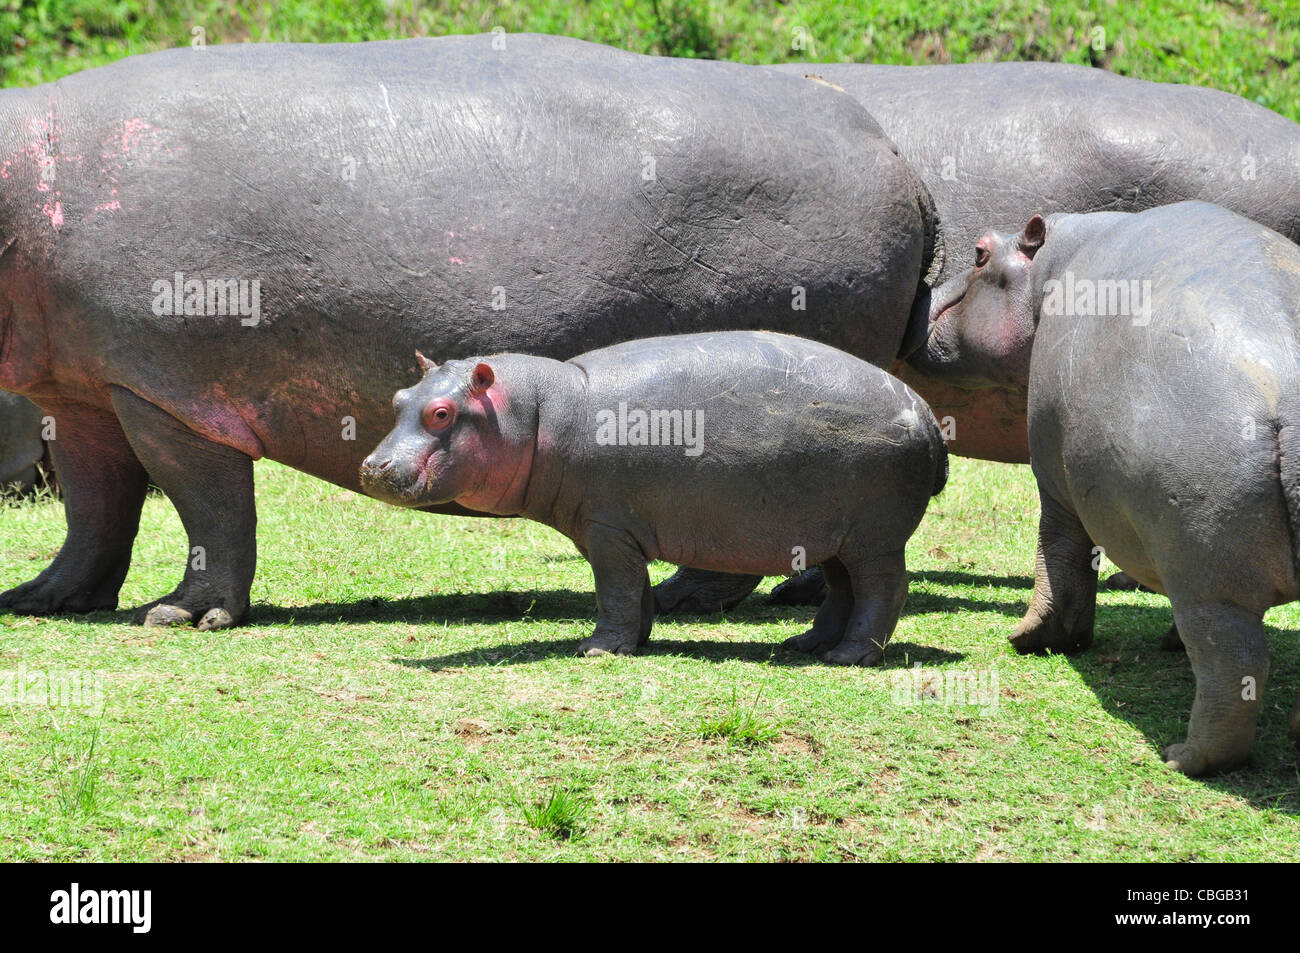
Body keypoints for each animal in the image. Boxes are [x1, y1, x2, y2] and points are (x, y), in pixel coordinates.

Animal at [0, 34, 944, 629]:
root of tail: (899, 156)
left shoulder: (166, 390)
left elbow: (207, 508)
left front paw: (179, 617)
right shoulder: (78, 388)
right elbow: (94, 506)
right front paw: (40, 597)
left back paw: (689, 600)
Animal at [361, 331, 948, 662]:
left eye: (441, 413)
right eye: (398, 399)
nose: (371, 467)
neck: (535, 412)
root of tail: (927, 414)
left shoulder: (607, 530)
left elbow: (614, 590)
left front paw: (597, 650)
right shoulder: (615, 530)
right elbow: (635, 590)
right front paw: (637, 642)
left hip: (874, 537)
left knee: (883, 589)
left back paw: (849, 657)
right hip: (832, 534)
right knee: (842, 589)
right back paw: (805, 645)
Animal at [908, 199, 1300, 776]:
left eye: (979, 253)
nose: (922, 293)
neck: (1049, 270)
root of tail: (1290, 399)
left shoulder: (1053, 478)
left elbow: (1059, 558)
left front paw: (1028, 639)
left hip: (1210, 581)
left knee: (1235, 667)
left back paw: (1182, 757)